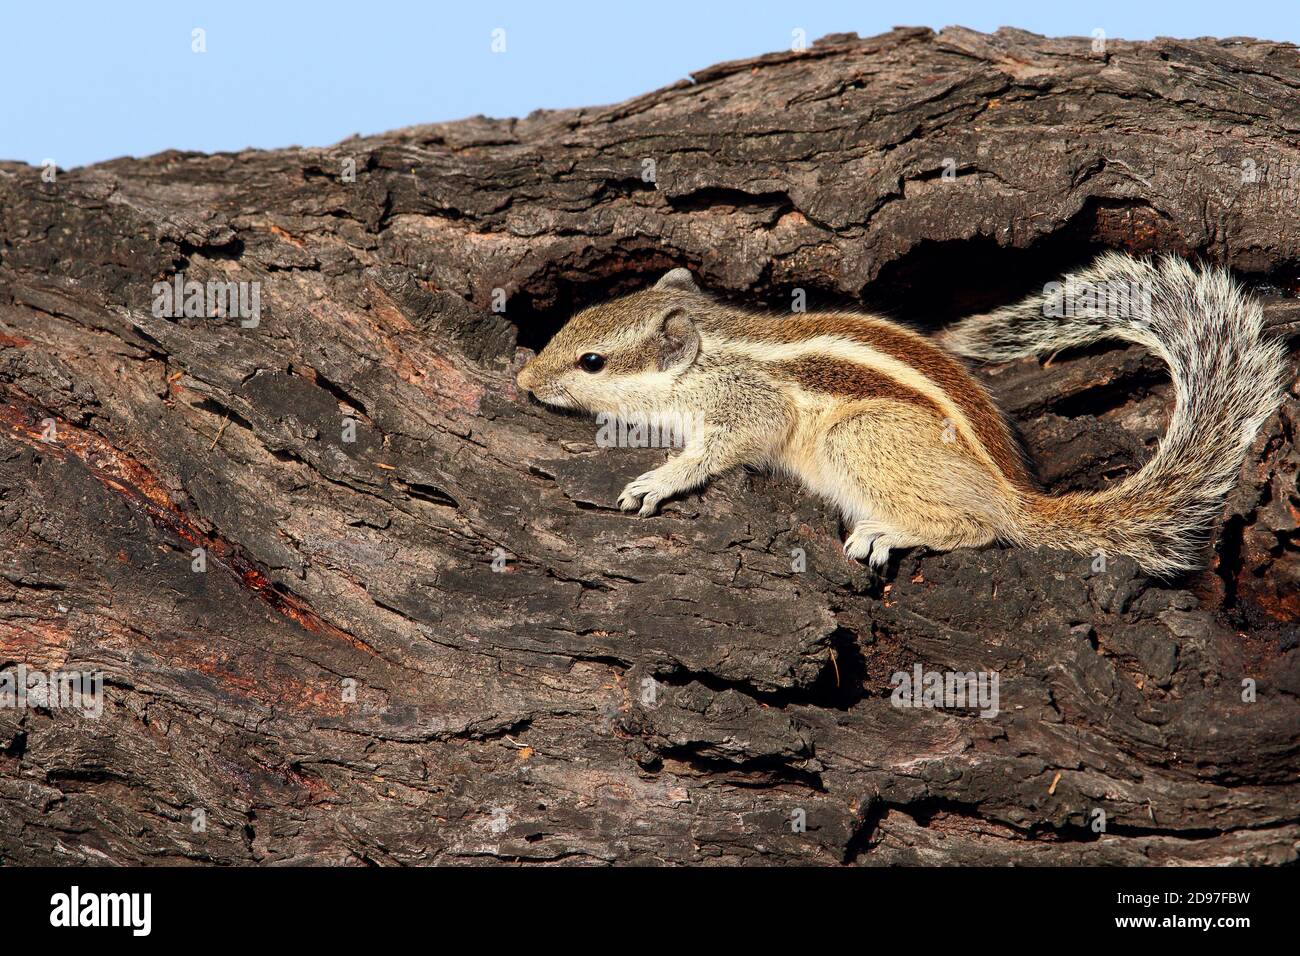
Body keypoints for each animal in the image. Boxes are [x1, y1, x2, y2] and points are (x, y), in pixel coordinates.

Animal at [515, 253, 1288, 575]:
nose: (523, 378)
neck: (710, 349)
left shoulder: (747, 405)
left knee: (976, 530)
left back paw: (892, 531)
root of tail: (1016, 497)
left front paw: (660, 480)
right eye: (574, 320)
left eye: (591, 361)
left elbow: (724, 446)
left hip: (859, 437)